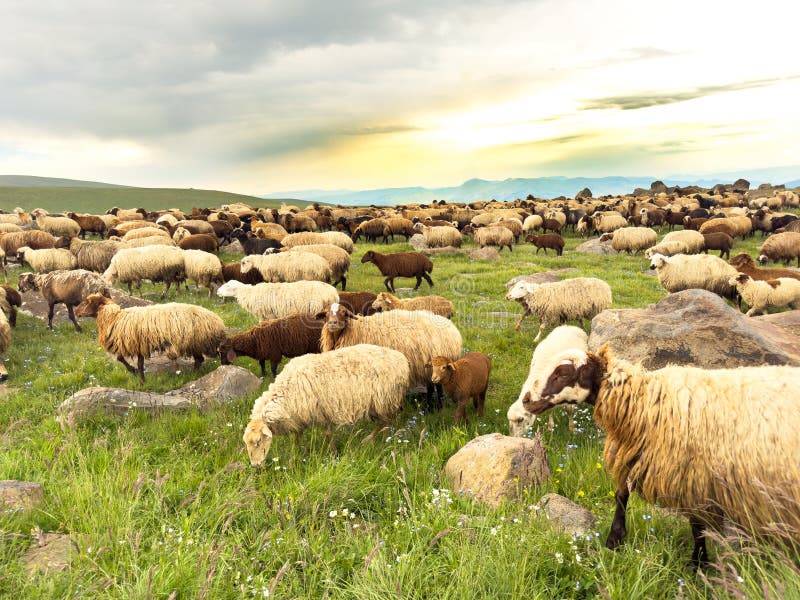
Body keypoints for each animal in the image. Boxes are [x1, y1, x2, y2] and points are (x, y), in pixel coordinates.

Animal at [75, 293, 226, 381]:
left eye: (87, 302)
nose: (76, 311)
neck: (114, 317)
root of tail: (218, 321)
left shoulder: (133, 344)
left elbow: (122, 359)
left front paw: (135, 373)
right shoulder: (139, 345)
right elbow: (134, 362)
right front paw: (141, 378)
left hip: (198, 343)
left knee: (208, 357)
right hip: (195, 344)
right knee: (199, 359)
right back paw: (193, 374)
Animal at [243, 344, 411, 464]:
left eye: (258, 441)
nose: (255, 465)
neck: (286, 392)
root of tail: (401, 358)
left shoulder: (321, 412)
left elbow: (328, 435)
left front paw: (333, 454)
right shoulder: (301, 416)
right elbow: (297, 437)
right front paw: (293, 456)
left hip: (384, 399)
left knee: (385, 422)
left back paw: (379, 440)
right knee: (384, 422)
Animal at [319, 303, 462, 408]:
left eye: (343, 312)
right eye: (325, 314)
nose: (332, 323)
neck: (355, 330)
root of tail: (451, 326)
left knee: (437, 388)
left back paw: (437, 407)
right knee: (432, 386)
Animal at [533, 344, 800, 568]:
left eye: (562, 373)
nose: (527, 400)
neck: (646, 402)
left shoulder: (693, 476)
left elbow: (697, 527)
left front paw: (698, 564)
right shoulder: (640, 454)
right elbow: (621, 494)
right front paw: (615, 540)